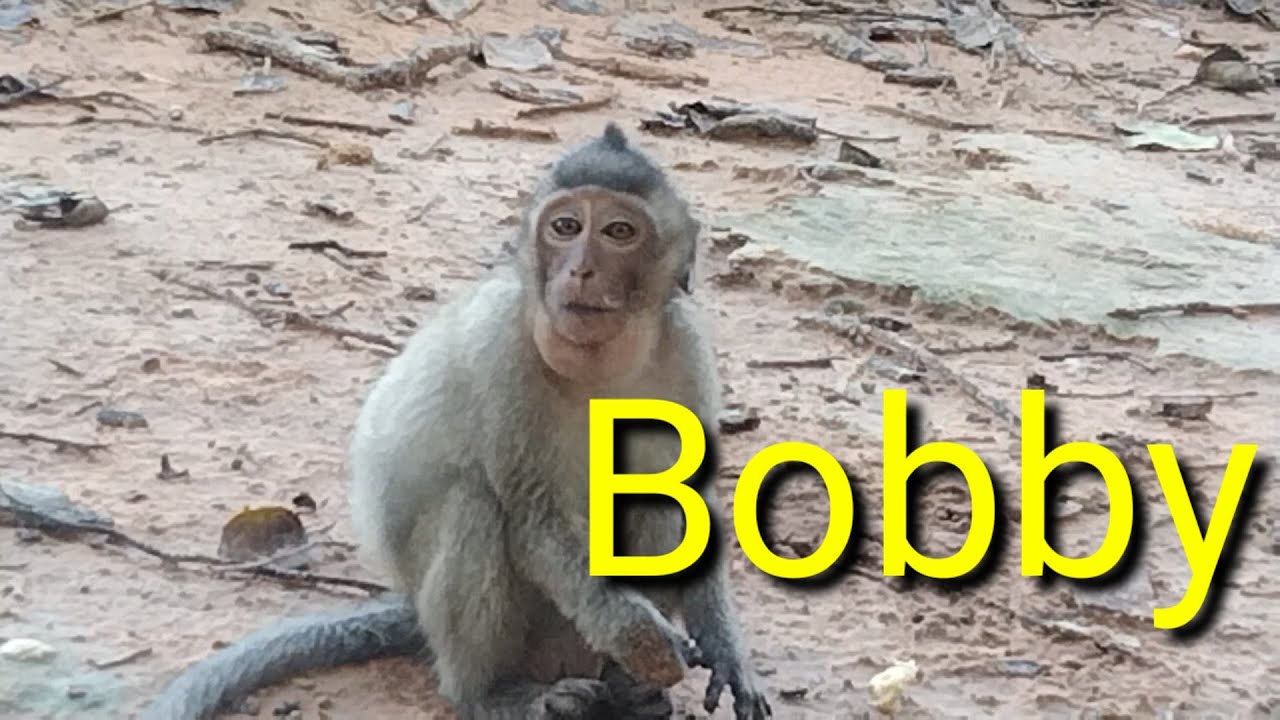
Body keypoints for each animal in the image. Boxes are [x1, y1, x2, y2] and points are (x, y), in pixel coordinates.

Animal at [140, 122, 772, 720]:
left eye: (619, 232)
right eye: (566, 227)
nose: (581, 271)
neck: (600, 361)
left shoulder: (687, 350)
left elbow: (685, 499)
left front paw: (724, 650)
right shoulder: (502, 346)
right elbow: (531, 513)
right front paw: (639, 637)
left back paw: (625, 691)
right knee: (476, 505)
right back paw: (495, 694)